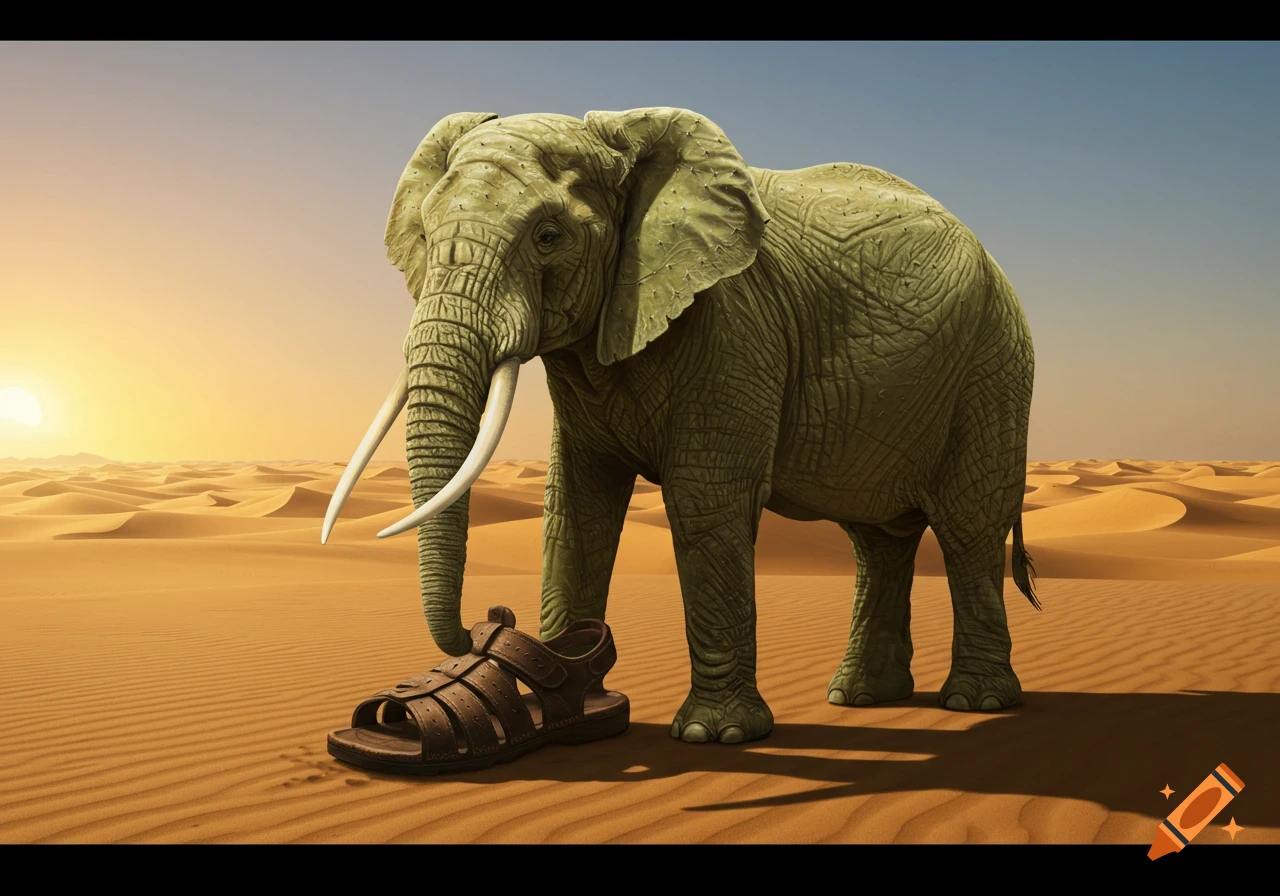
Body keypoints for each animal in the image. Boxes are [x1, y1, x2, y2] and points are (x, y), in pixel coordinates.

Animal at [322, 106, 1039, 746]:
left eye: (548, 236)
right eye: (422, 233)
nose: (486, 626)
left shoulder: (732, 325)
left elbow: (705, 502)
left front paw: (713, 736)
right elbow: (576, 509)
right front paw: (555, 705)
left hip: (992, 366)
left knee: (968, 529)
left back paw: (975, 703)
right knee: (877, 541)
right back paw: (860, 697)